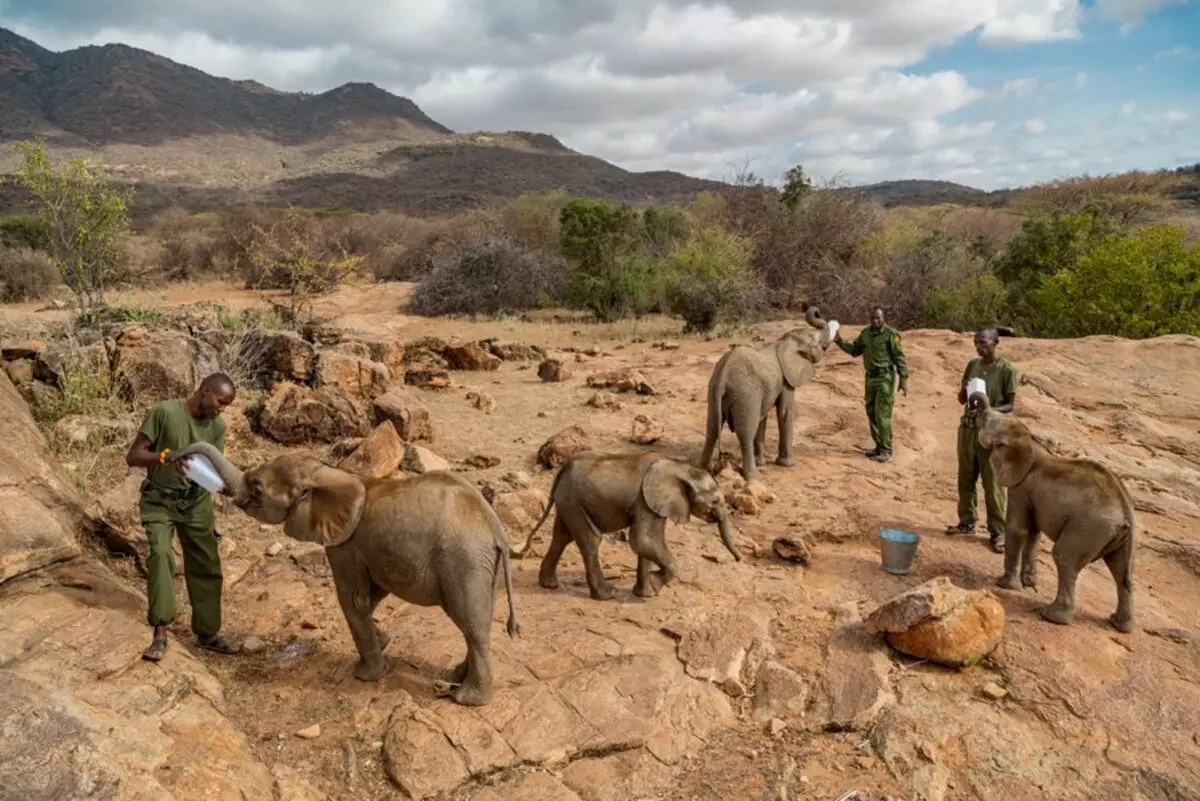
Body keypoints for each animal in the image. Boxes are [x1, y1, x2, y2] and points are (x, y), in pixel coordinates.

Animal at [168, 438, 516, 705]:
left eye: (257, 488)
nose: (175, 458)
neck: (327, 473)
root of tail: (495, 527)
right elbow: (372, 595)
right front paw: (384, 641)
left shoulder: (344, 545)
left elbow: (352, 599)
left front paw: (365, 675)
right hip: (480, 565)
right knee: (476, 620)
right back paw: (455, 677)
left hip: (463, 560)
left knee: (470, 623)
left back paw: (467, 699)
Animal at [513, 450, 739, 599]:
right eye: (715, 501)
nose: (738, 559)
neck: (677, 466)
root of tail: (561, 472)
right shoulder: (645, 500)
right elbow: (642, 540)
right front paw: (655, 586)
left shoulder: (653, 503)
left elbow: (646, 543)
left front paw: (646, 594)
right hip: (574, 501)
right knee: (590, 540)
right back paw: (605, 595)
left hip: (568, 502)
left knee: (562, 537)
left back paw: (549, 585)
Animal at [969, 388, 1137, 633]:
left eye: (987, 422)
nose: (972, 408)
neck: (1029, 438)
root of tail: (1125, 512)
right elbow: (1033, 533)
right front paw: (1029, 583)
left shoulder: (1022, 487)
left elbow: (1018, 529)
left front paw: (1005, 585)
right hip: (1120, 536)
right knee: (1123, 572)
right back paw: (1118, 624)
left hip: (1089, 527)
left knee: (1065, 556)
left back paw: (1051, 616)